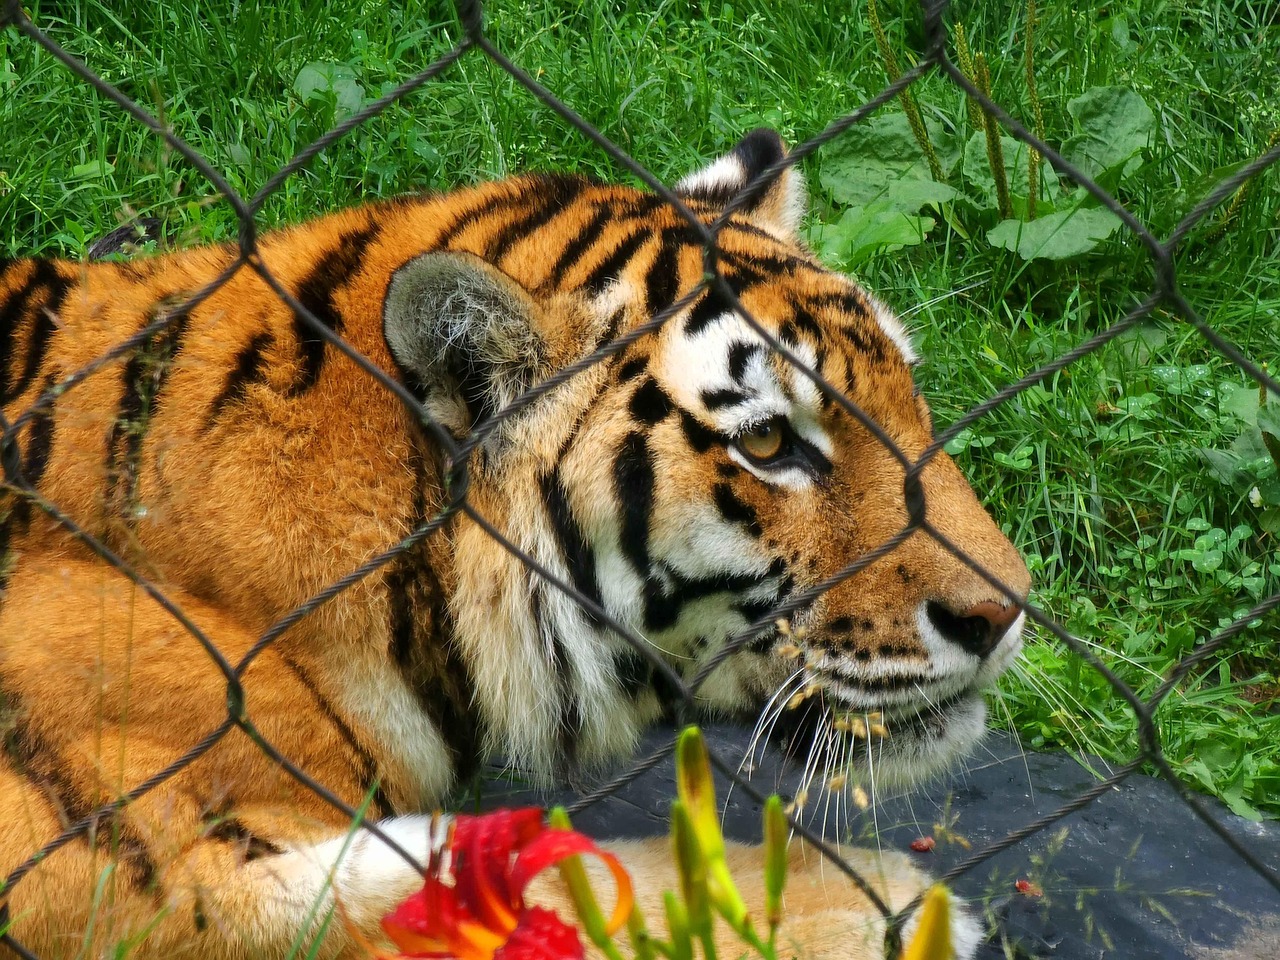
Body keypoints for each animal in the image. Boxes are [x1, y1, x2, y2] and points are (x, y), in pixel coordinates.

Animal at [0, 128, 1030, 959]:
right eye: (769, 442)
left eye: (909, 393)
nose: (1006, 612)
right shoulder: (117, 875)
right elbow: (541, 875)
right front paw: (887, 905)